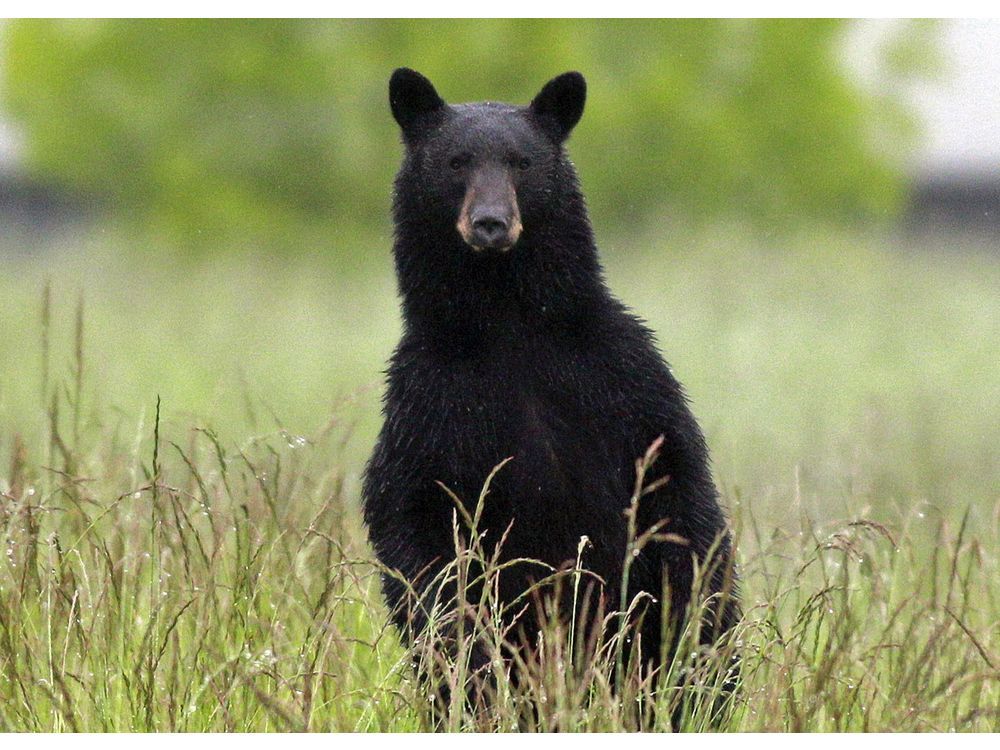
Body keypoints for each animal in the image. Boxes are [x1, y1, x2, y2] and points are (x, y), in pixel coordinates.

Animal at [362, 68, 739, 728]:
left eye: (522, 162)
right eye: (457, 162)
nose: (490, 223)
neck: (508, 323)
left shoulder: (623, 380)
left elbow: (679, 498)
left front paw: (690, 639)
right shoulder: (429, 402)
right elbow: (416, 526)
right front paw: (466, 650)